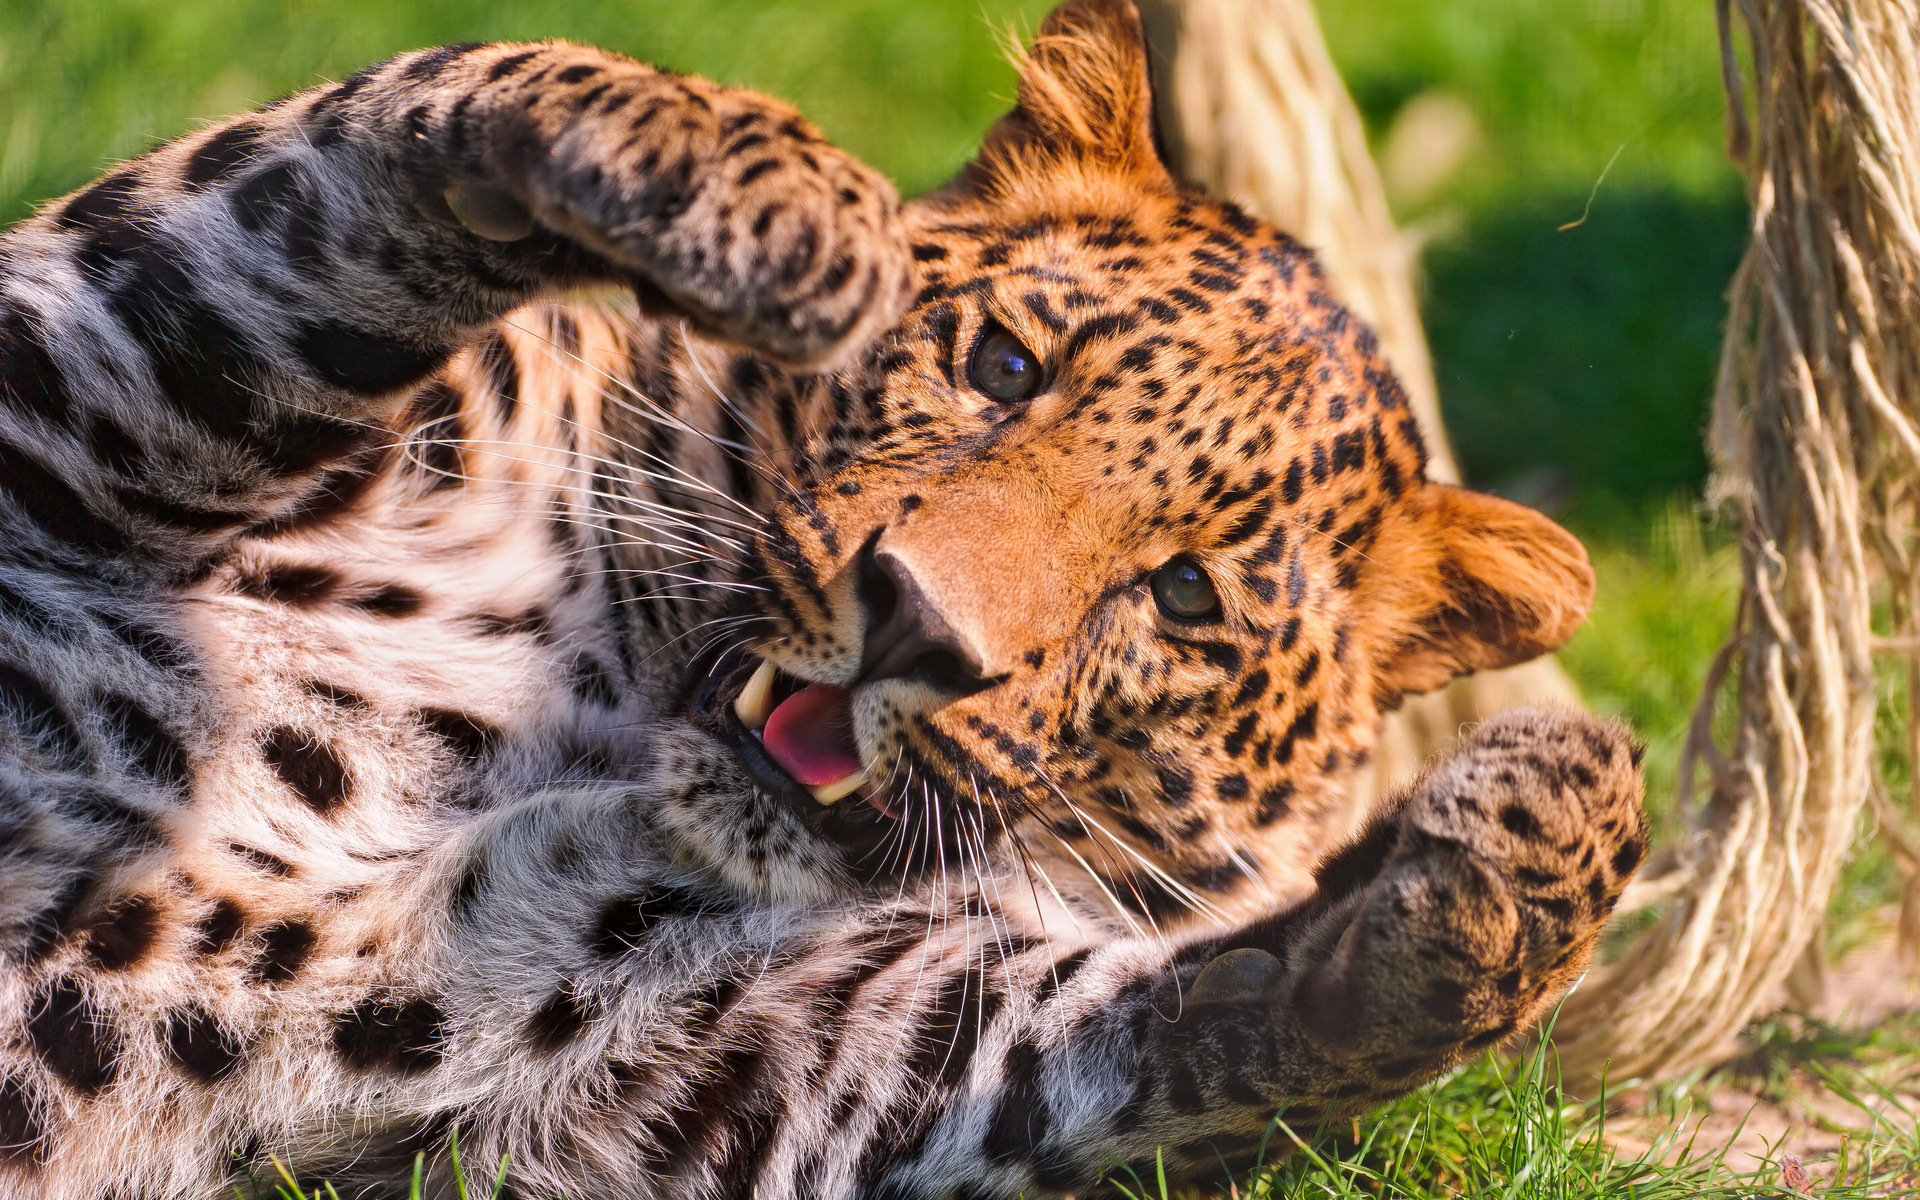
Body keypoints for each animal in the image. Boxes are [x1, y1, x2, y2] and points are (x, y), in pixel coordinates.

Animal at [0, 1, 1648, 1197]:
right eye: (1002, 366)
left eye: (1183, 596)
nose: (917, 622)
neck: (583, 704)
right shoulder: (64, 389)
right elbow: (337, 187)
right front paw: (751, 190)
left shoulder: (668, 1036)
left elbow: (1169, 1029)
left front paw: (1545, 833)